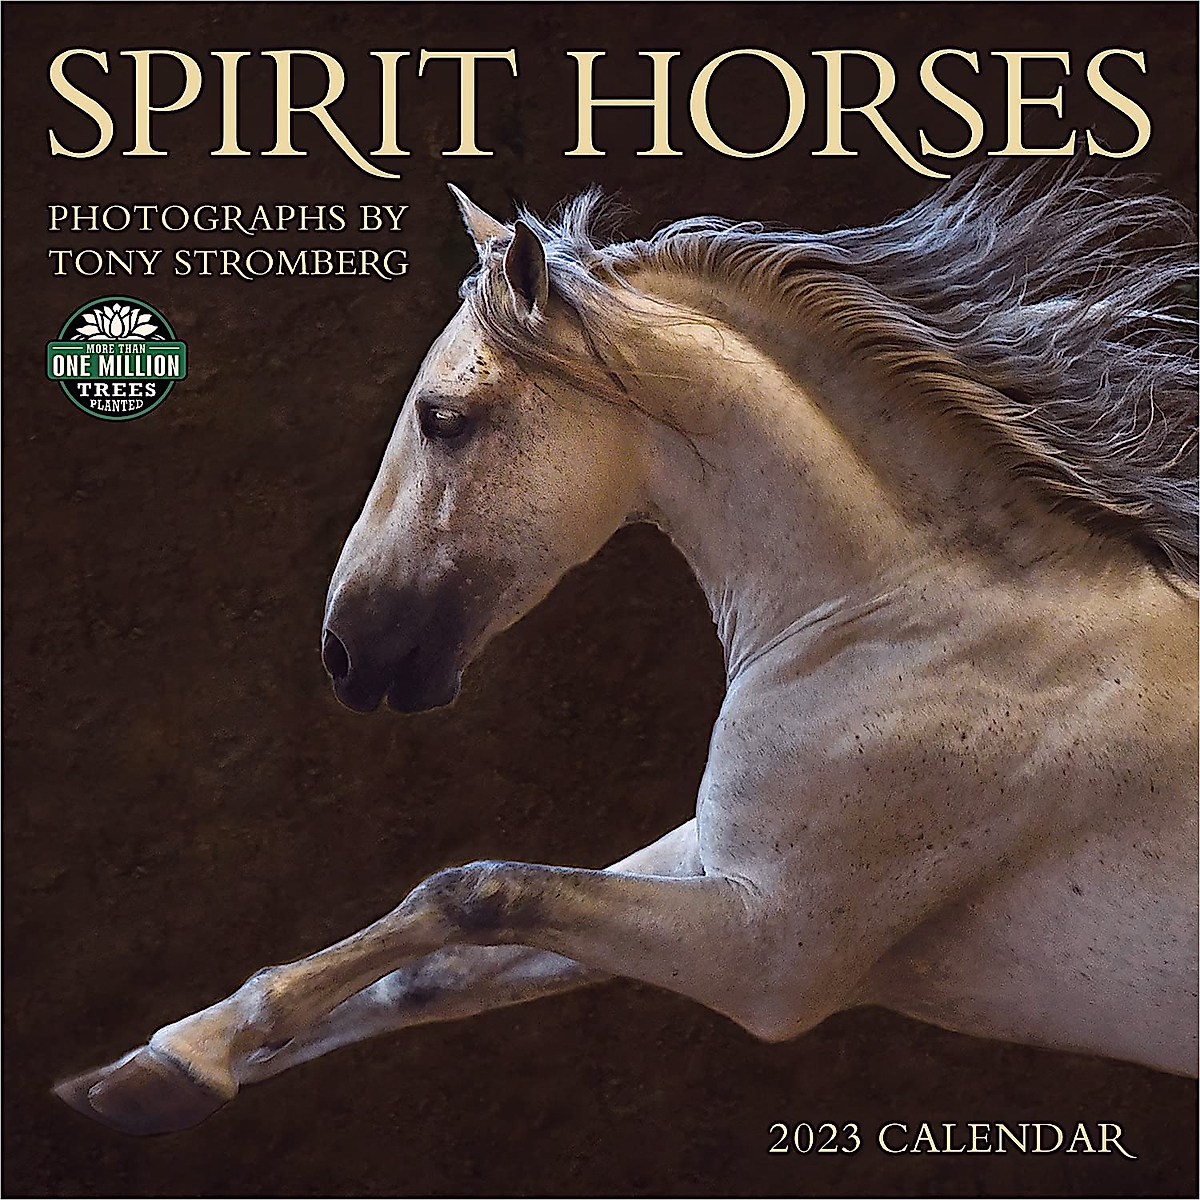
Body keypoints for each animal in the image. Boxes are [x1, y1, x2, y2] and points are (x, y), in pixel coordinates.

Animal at [56, 161, 1199, 1135]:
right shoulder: (717, 859)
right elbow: (428, 963)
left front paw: (183, 1059)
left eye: (443, 418)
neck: (928, 620)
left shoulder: (767, 953)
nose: (346, 650)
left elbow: (475, 890)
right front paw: (150, 1068)